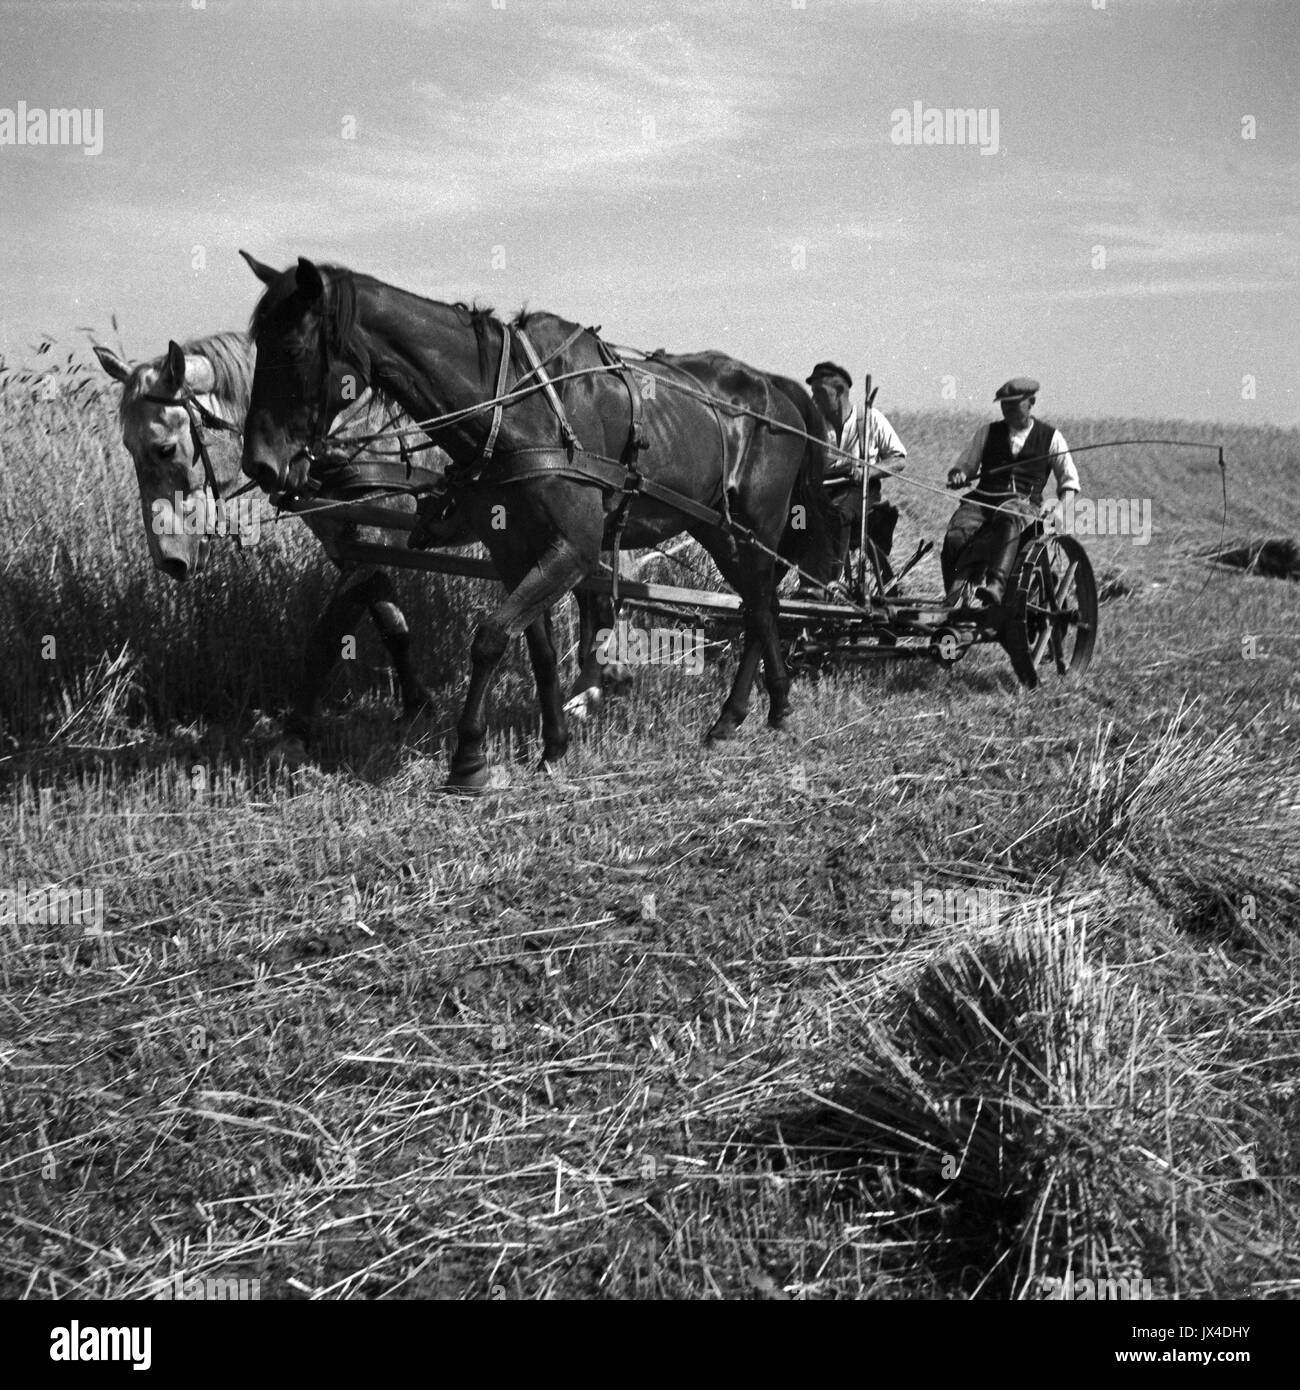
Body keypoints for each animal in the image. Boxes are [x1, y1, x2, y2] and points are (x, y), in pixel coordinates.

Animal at [95, 331, 624, 759]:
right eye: (127, 447)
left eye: (165, 447)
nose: (170, 560)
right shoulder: (355, 548)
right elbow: (392, 624)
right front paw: (416, 703)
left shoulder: (367, 542)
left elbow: (327, 636)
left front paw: (296, 733)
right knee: (592, 590)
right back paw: (593, 683)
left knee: (597, 593)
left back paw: (589, 690)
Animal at [238, 254, 837, 793]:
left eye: (291, 349)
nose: (259, 465)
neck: (516, 410)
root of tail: (777, 389)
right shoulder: (514, 551)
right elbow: (537, 650)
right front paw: (553, 746)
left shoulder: (573, 548)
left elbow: (488, 638)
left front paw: (470, 760)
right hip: (719, 526)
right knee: (760, 606)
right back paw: (752, 712)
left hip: (750, 529)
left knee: (760, 607)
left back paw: (751, 713)